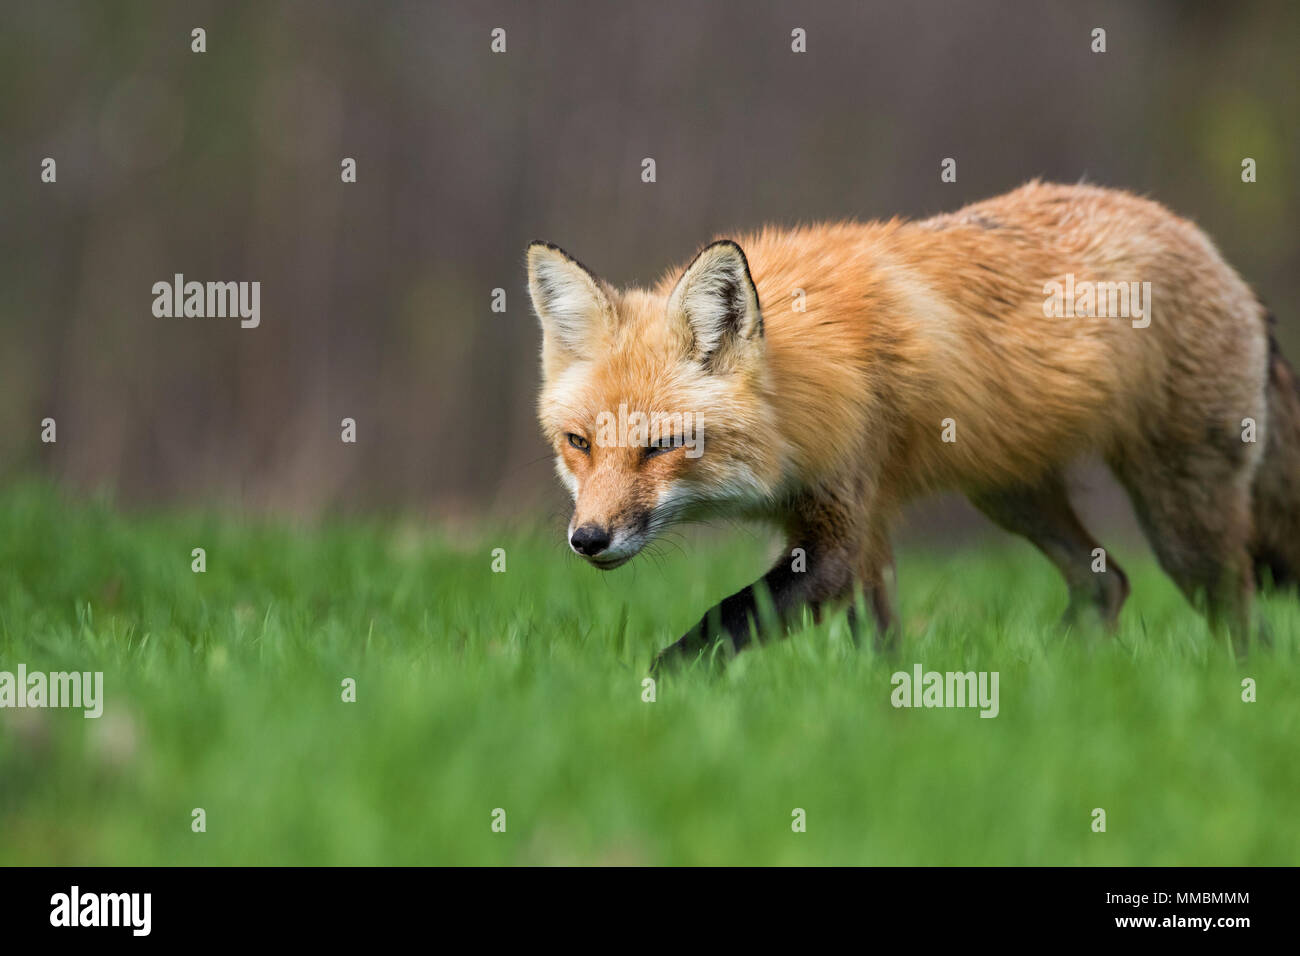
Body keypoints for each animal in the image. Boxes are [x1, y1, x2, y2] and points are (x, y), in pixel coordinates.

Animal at [527, 181, 1300, 669]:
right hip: (1010, 493)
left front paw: (642, 690)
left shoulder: (841, 521)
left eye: (664, 446)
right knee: (1104, 583)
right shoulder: (863, 519)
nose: (587, 539)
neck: (804, 387)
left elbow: (724, 621)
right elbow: (879, 638)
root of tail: (1209, 247)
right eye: (579, 444)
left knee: (1242, 620)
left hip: (1184, 521)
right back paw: (1055, 674)